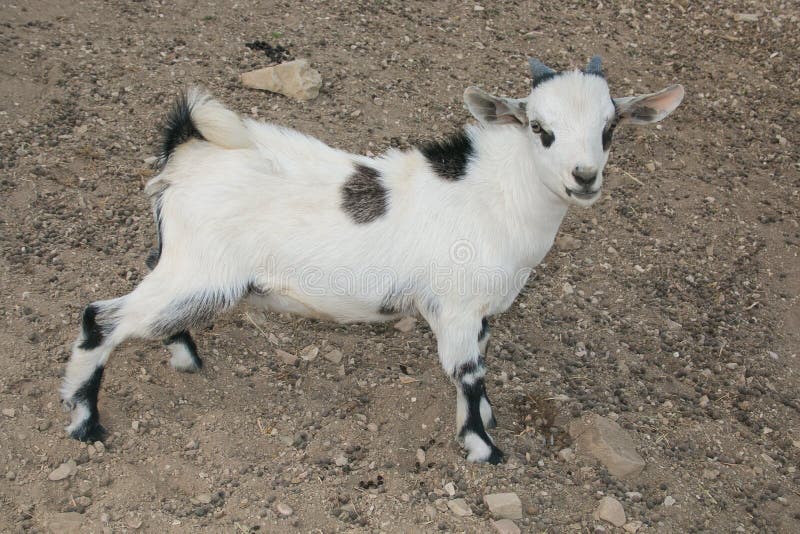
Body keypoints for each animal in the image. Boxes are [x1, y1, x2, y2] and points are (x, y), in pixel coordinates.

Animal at [61, 56, 684, 463]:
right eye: (540, 128)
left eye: (610, 128)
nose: (585, 177)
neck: (491, 195)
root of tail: (189, 146)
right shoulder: (457, 307)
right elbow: (468, 373)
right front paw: (484, 448)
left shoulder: (479, 311)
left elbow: (479, 368)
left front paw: (482, 423)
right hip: (198, 270)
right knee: (101, 319)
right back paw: (85, 421)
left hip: (184, 263)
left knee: (147, 284)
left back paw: (183, 354)